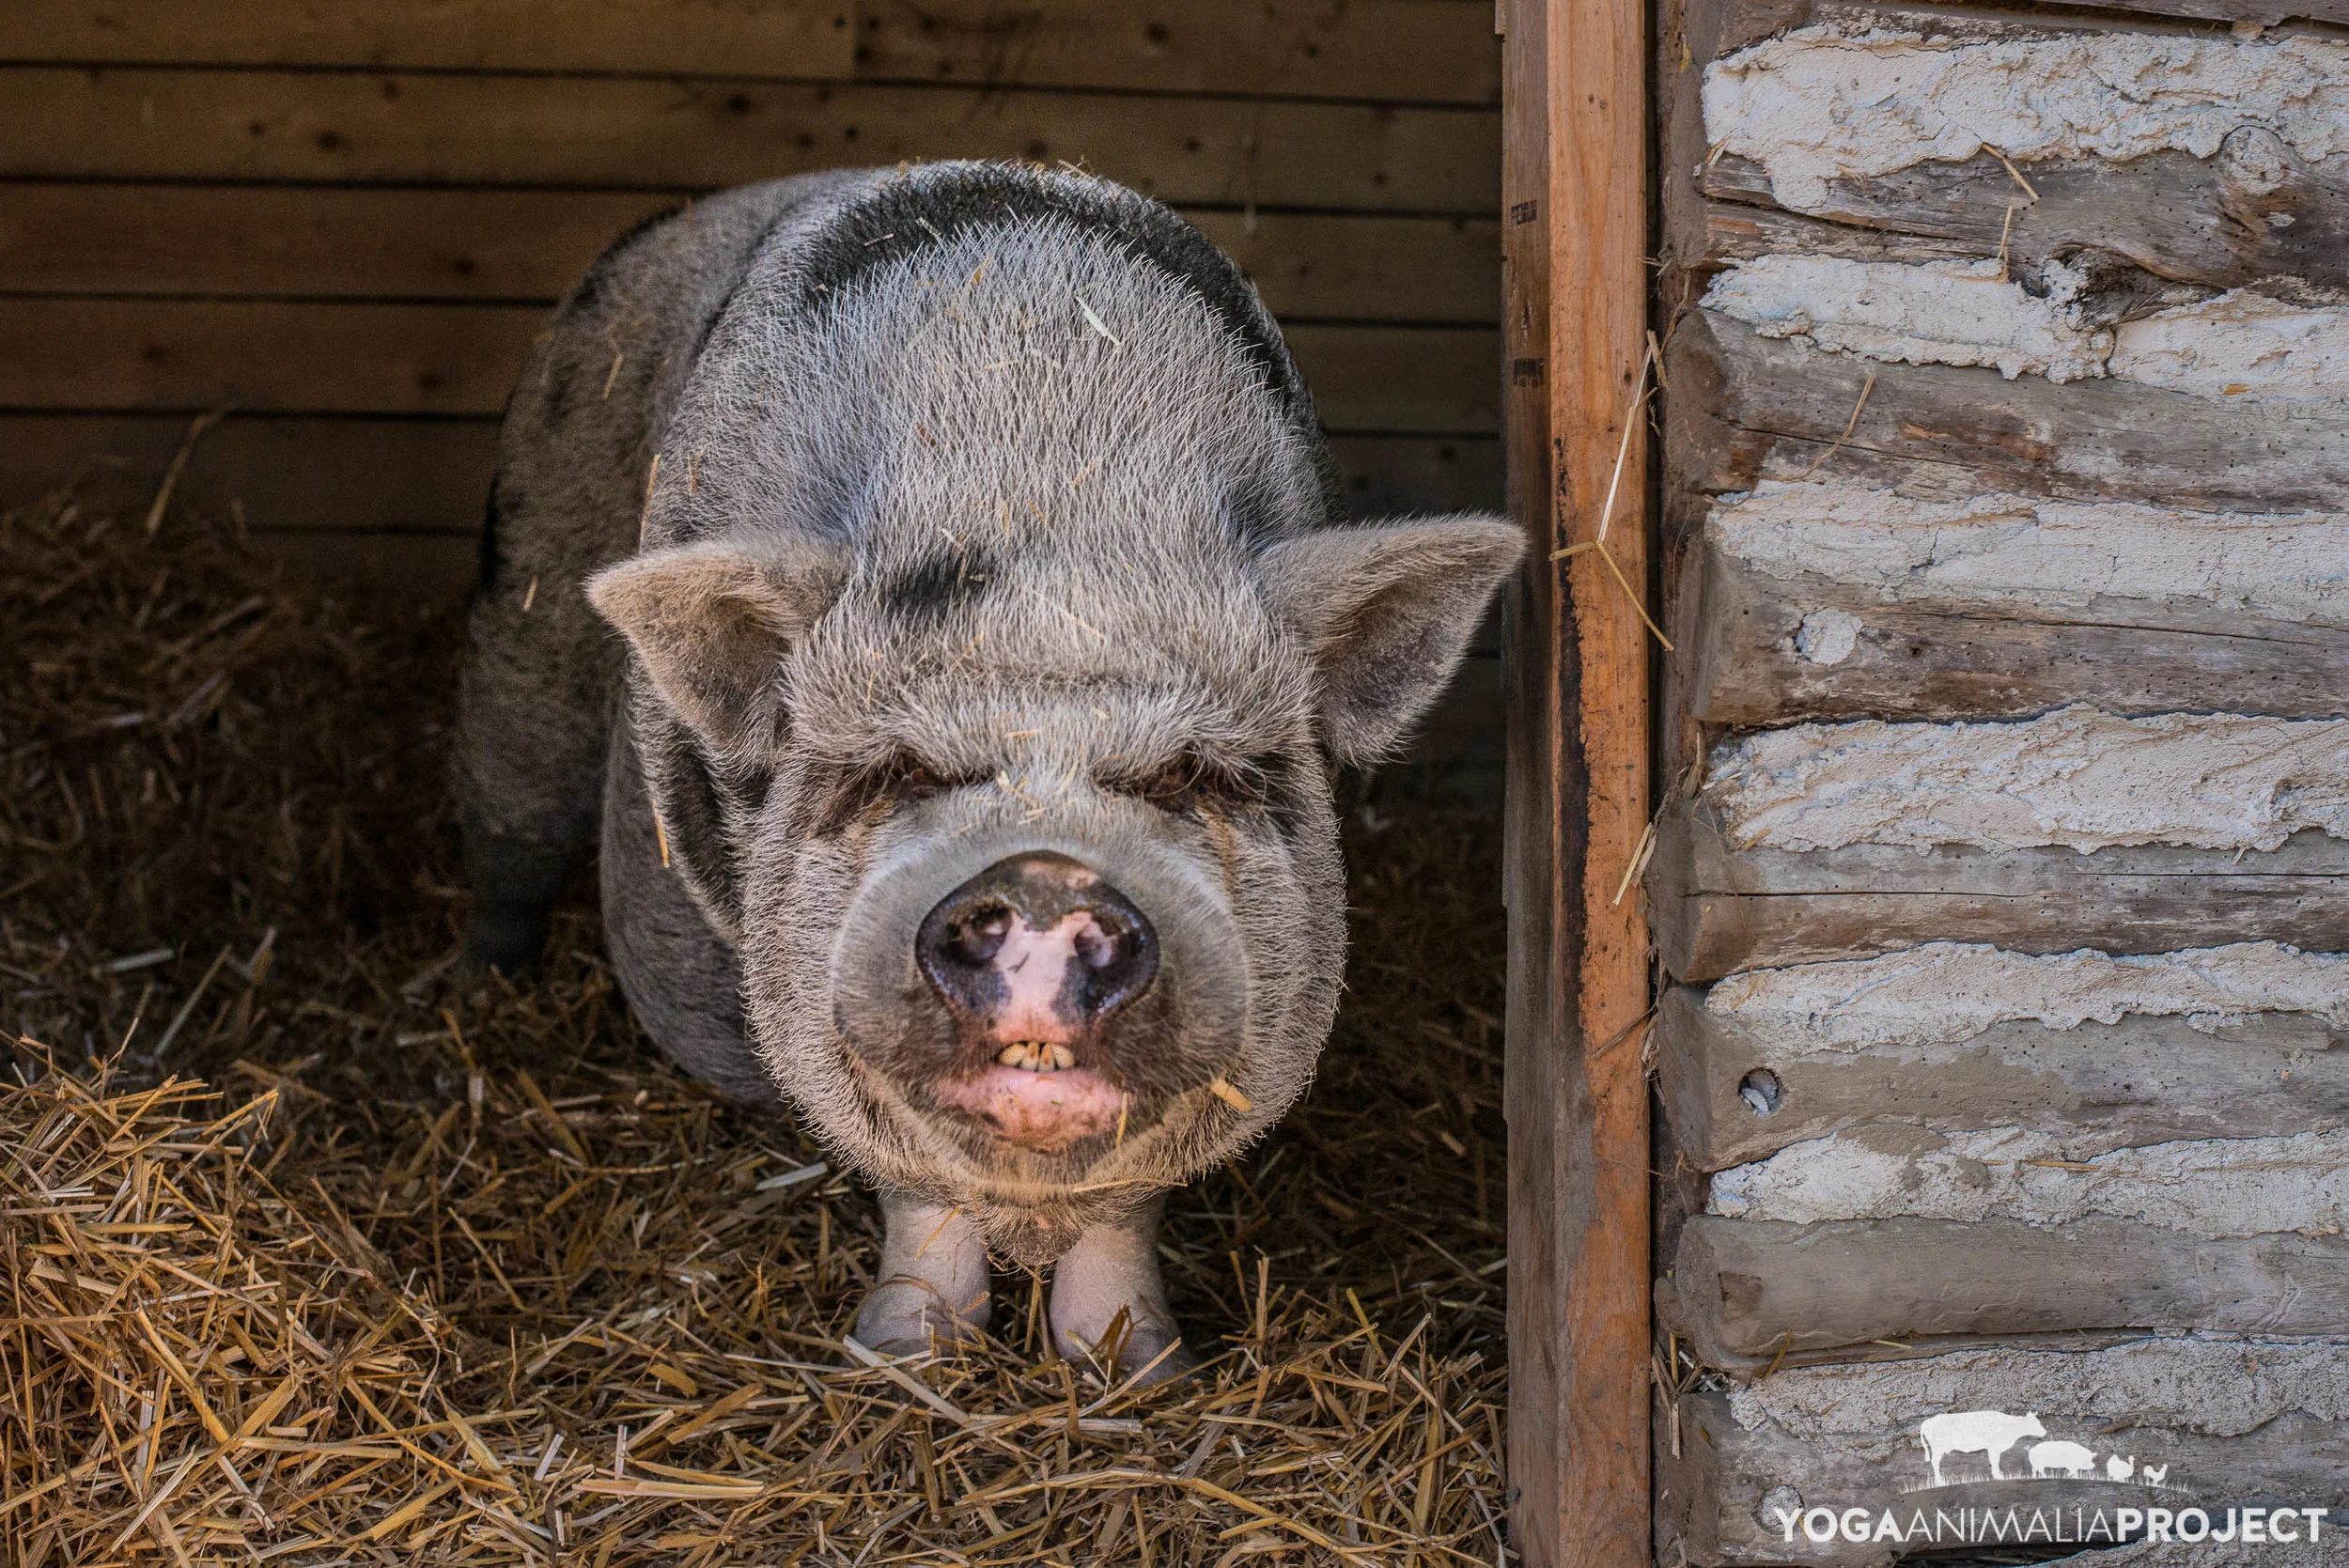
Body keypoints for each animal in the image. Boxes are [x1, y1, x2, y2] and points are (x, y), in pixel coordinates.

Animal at [454, 161, 1522, 1379]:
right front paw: (901, 1361)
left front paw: (1134, 1370)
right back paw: (478, 990)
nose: (1047, 878)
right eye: (899, 769)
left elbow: (1126, 1208)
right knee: (508, 828)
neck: (1042, 493)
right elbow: (915, 1183)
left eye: (1194, 773)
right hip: (525, 615)